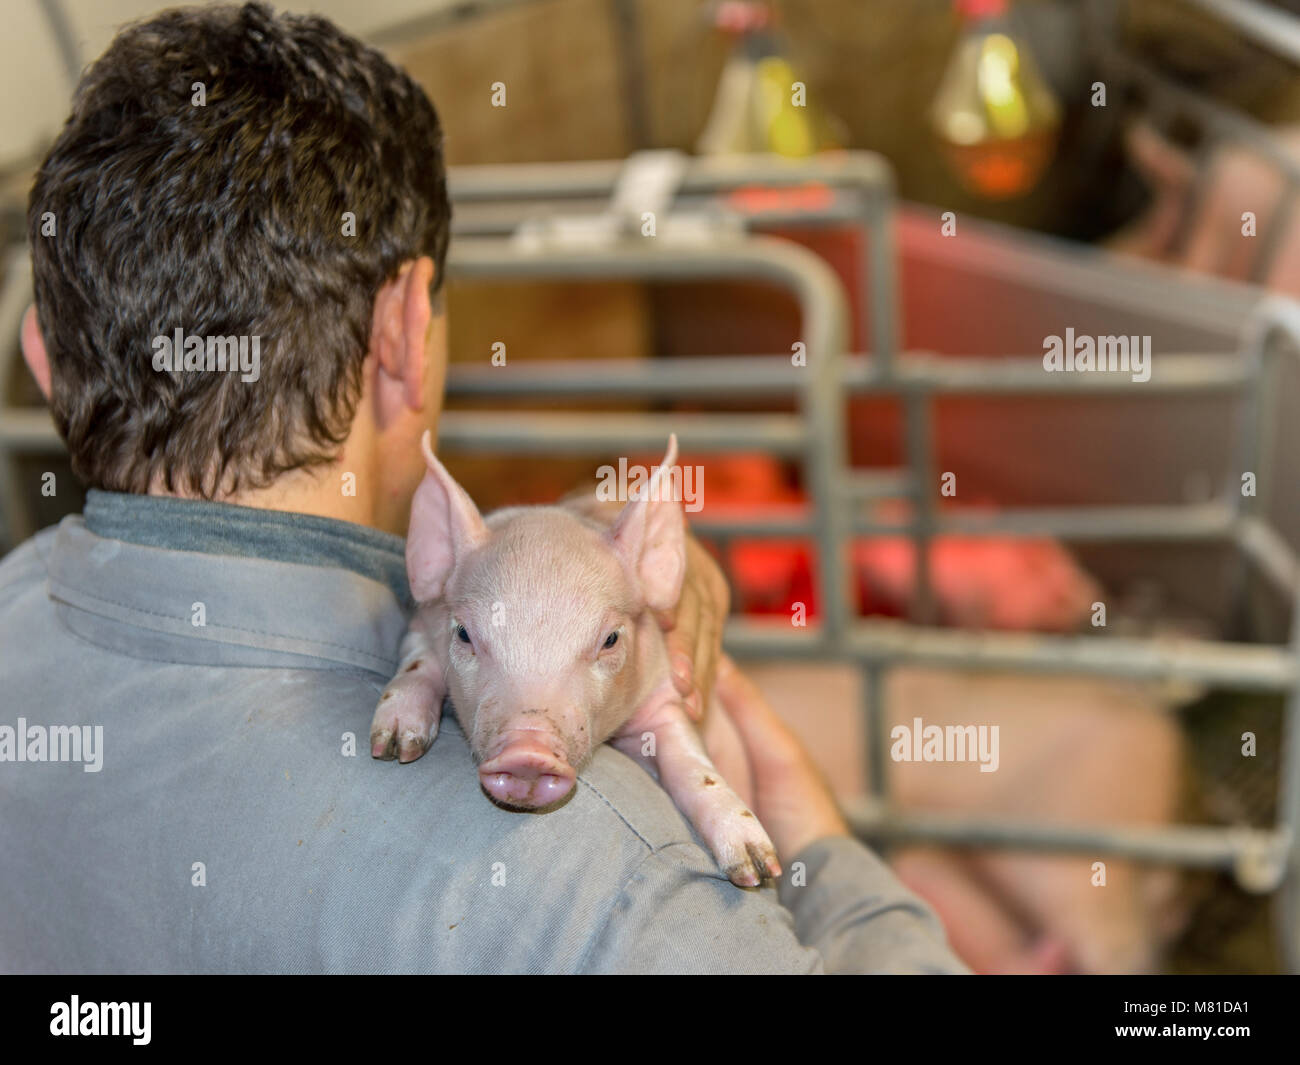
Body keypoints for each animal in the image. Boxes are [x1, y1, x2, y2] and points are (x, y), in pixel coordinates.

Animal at [369, 431, 781, 888]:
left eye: (611, 639)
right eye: (463, 634)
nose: (527, 753)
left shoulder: (665, 689)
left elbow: (693, 764)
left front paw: (758, 869)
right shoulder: (419, 627)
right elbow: (417, 666)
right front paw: (394, 747)